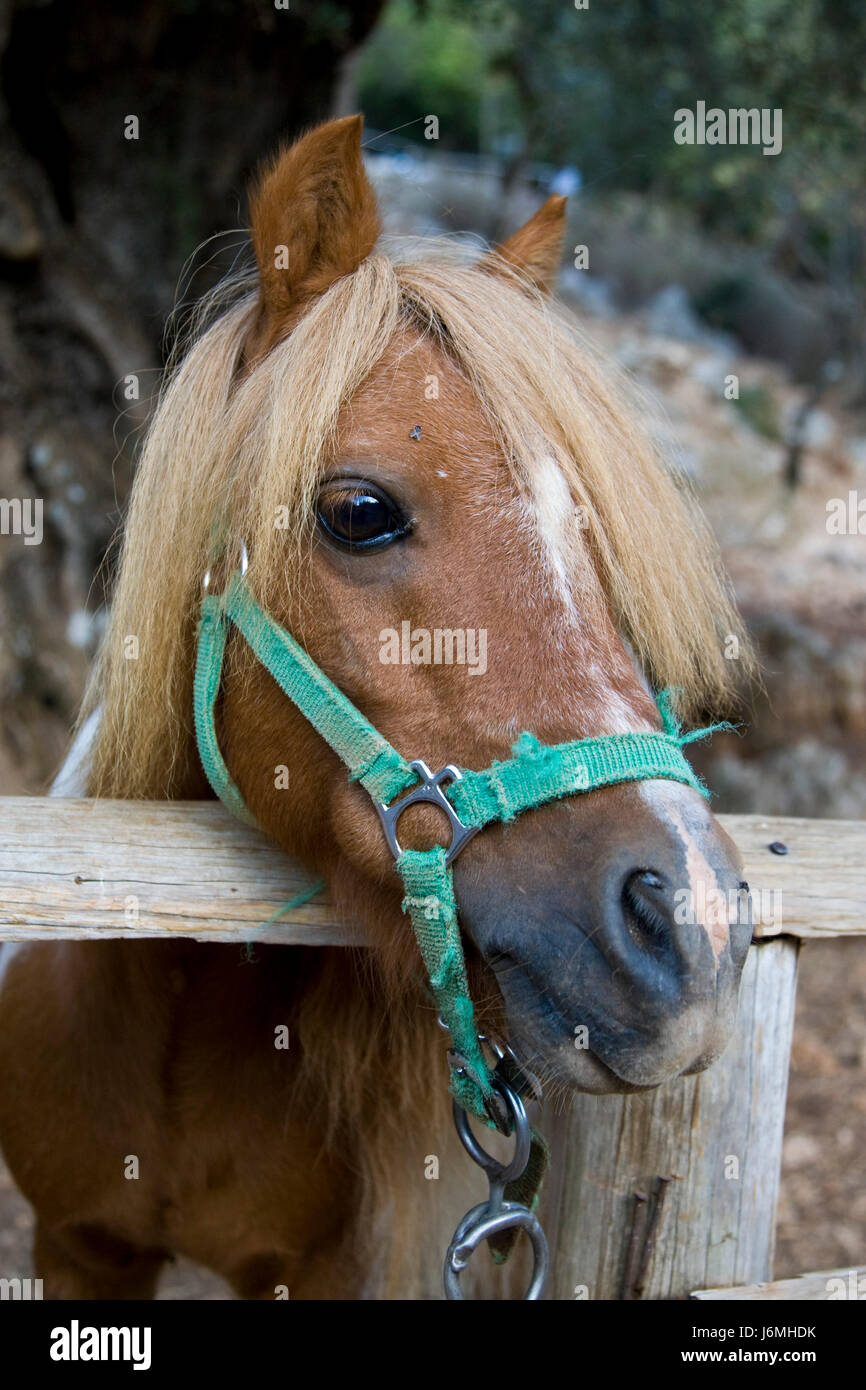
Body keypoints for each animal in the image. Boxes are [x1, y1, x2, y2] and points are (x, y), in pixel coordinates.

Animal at [0, 115, 754, 1300]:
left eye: (592, 528)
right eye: (358, 511)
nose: (696, 923)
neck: (172, 1003)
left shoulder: (319, 1265)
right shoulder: (74, 1242)